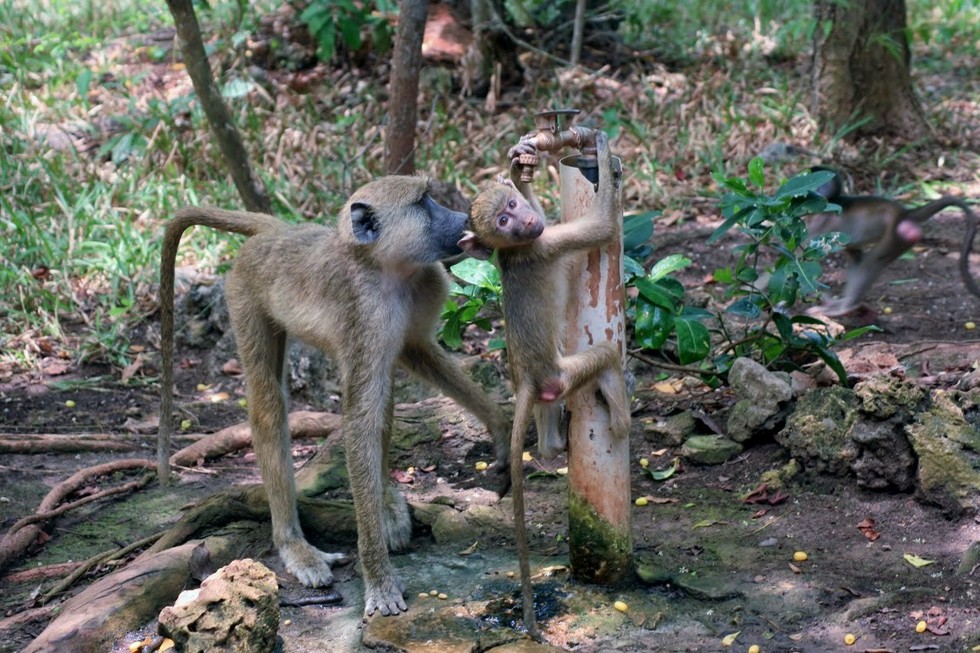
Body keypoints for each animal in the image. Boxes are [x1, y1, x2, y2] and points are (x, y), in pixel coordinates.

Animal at [158, 176, 511, 618]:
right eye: (423, 203)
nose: (462, 218)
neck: (386, 269)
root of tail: (277, 232)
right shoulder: (367, 315)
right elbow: (358, 423)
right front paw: (378, 579)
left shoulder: (420, 289)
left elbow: (412, 353)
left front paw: (499, 427)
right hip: (243, 292)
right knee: (270, 405)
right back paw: (294, 544)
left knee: (381, 399)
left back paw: (385, 502)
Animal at [459, 131, 631, 637]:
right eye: (503, 219)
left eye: (514, 206)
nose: (525, 218)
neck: (510, 249)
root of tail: (531, 378)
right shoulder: (547, 243)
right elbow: (600, 229)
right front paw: (602, 155)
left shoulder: (540, 235)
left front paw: (523, 167)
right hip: (562, 372)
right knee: (604, 358)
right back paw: (618, 405)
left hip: (545, 384)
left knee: (548, 414)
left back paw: (554, 444)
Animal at [805, 166, 980, 318]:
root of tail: (905, 213)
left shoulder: (817, 220)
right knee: (859, 259)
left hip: (899, 233)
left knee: (872, 262)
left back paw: (847, 307)